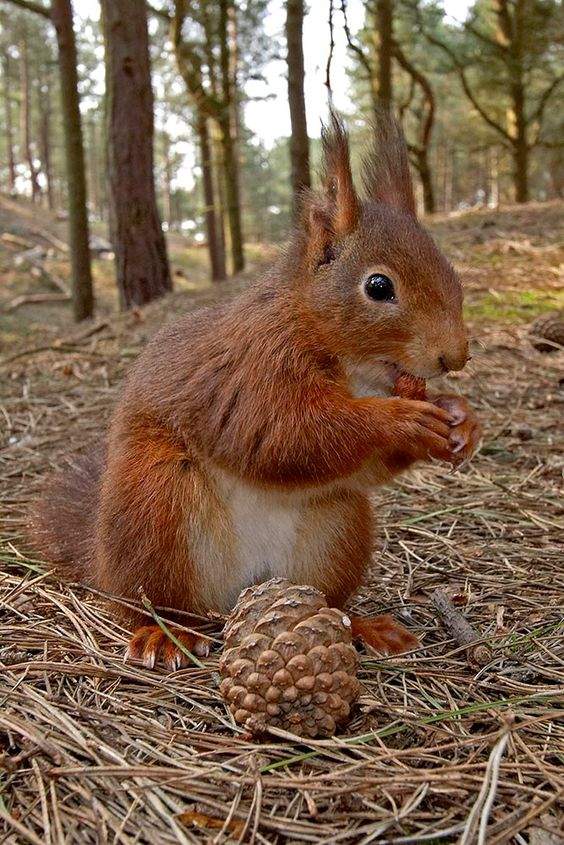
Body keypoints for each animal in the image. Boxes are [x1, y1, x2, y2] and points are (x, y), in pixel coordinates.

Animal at [29, 114, 480, 670]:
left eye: (452, 272)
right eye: (379, 287)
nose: (455, 356)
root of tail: (237, 597)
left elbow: (360, 465)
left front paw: (462, 419)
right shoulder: (249, 375)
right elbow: (281, 437)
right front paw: (400, 421)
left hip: (337, 529)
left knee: (329, 599)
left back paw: (363, 626)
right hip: (157, 508)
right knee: (151, 602)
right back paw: (164, 634)